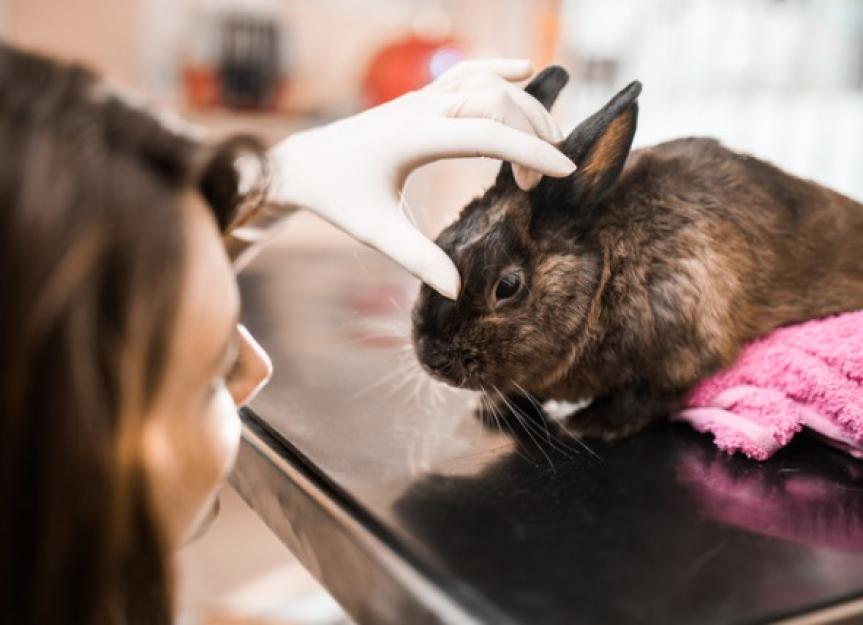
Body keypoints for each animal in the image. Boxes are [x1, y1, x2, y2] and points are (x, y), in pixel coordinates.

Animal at [411, 65, 863, 441]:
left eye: (507, 286)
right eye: (443, 240)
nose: (431, 357)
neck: (606, 271)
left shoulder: (681, 350)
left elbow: (645, 399)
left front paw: (586, 424)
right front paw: (494, 406)